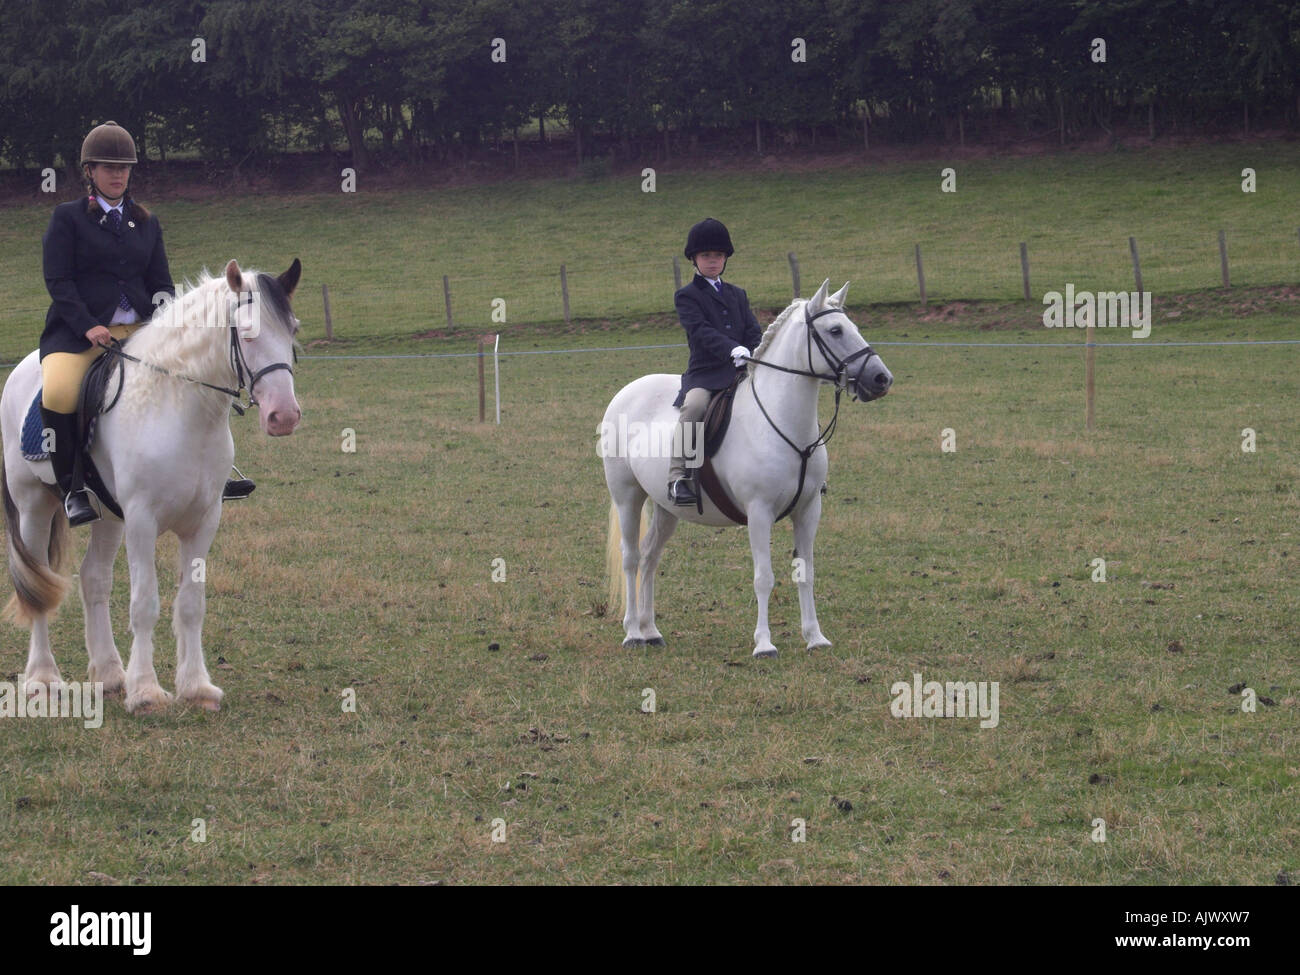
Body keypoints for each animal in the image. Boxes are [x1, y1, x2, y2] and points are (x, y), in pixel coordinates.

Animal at [1, 259, 303, 713]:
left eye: (293, 331)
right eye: (247, 334)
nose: (283, 417)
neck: (180, 407)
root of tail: (20, 371)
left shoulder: (204, 521)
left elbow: (191, 605)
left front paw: (196, 687)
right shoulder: (142, 520)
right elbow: (145, 604)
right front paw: (146, 691)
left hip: (108, 515)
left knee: (93, 578)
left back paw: (109, 674)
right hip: (34, 505)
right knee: (37, 581)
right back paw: (43, 678)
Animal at [601, 279, 893, 658]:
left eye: (853, 327)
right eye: (835, 330)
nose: (881, 378)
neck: (785, 425)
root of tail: (626, 392)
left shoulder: (809, 509)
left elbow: (806, 573)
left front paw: (815, 637)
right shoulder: (759, 512)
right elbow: (763, 577)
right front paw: (764, 644)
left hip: (666, 508)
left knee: (650, 557)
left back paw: (651, 631)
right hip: (627, 497)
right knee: (632, 558)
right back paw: (633, 633)